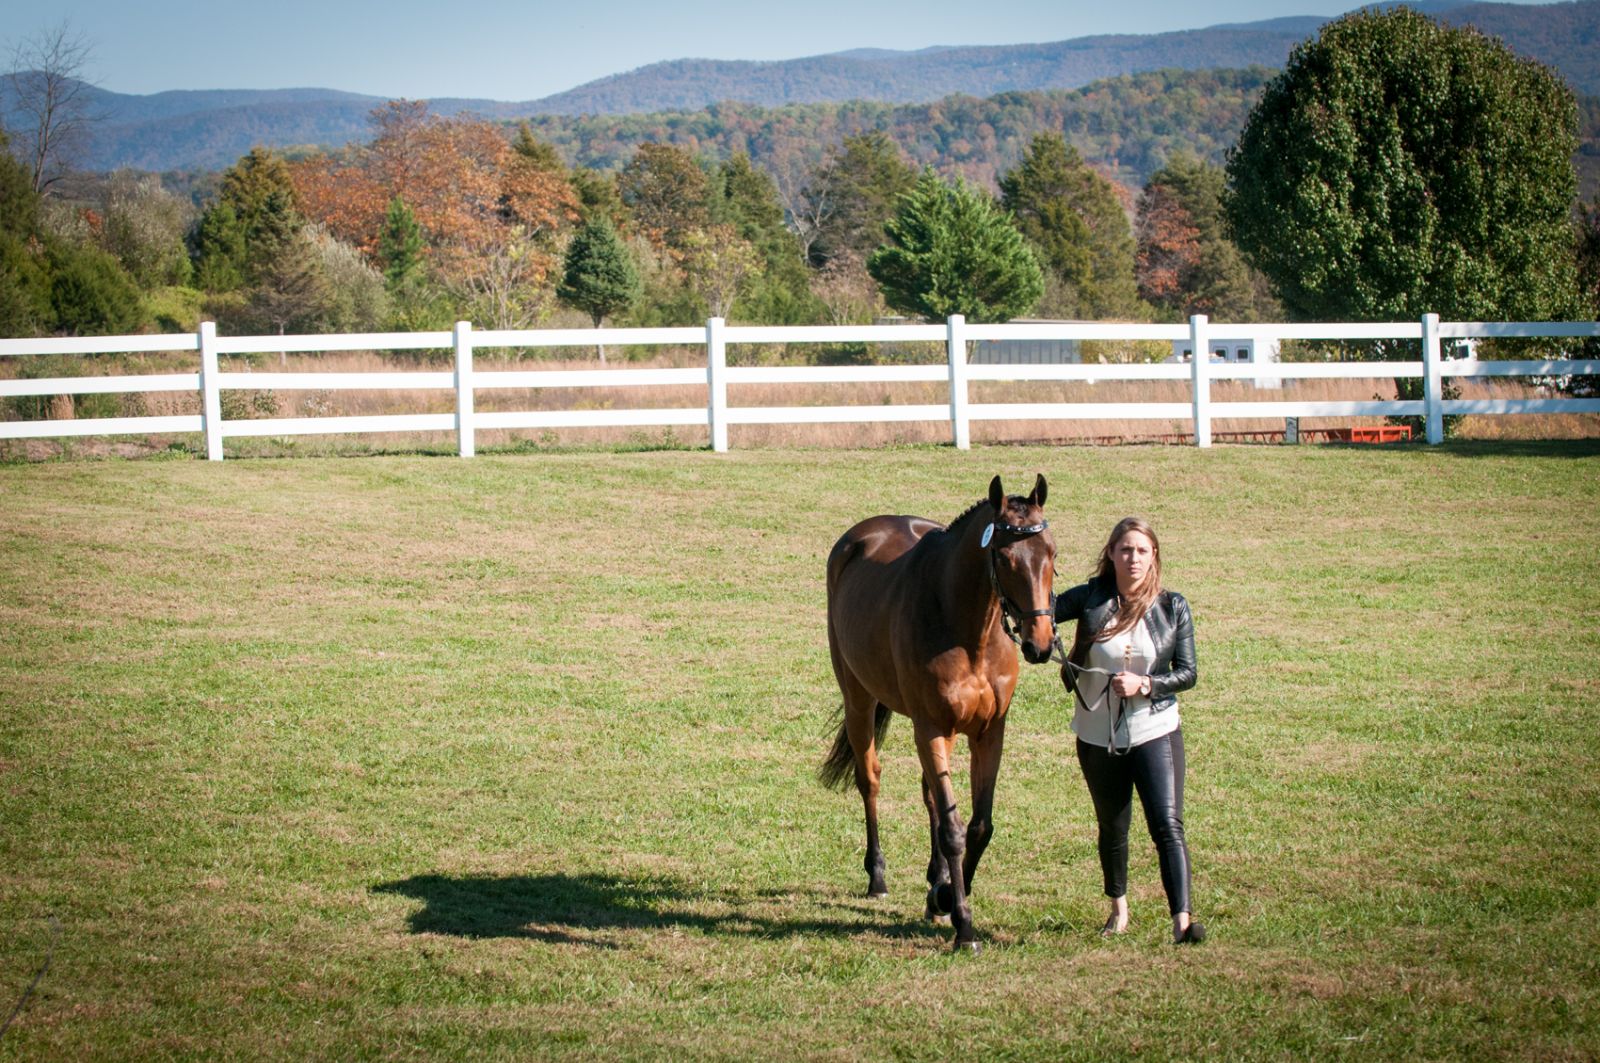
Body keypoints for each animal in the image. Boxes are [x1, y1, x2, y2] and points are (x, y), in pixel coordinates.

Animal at [820, 474, 1058, 952]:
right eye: (1004, 557)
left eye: (1052, 554)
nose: (1040, 643)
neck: (969, 631)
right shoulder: (931, 728)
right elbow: (952, 829)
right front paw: (963, 923)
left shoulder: (989, 732)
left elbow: (979, 826)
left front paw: (944, 894)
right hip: (859, 699)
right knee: (870, 778)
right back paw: (878, 876)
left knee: (929, 793)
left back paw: (935, 882)